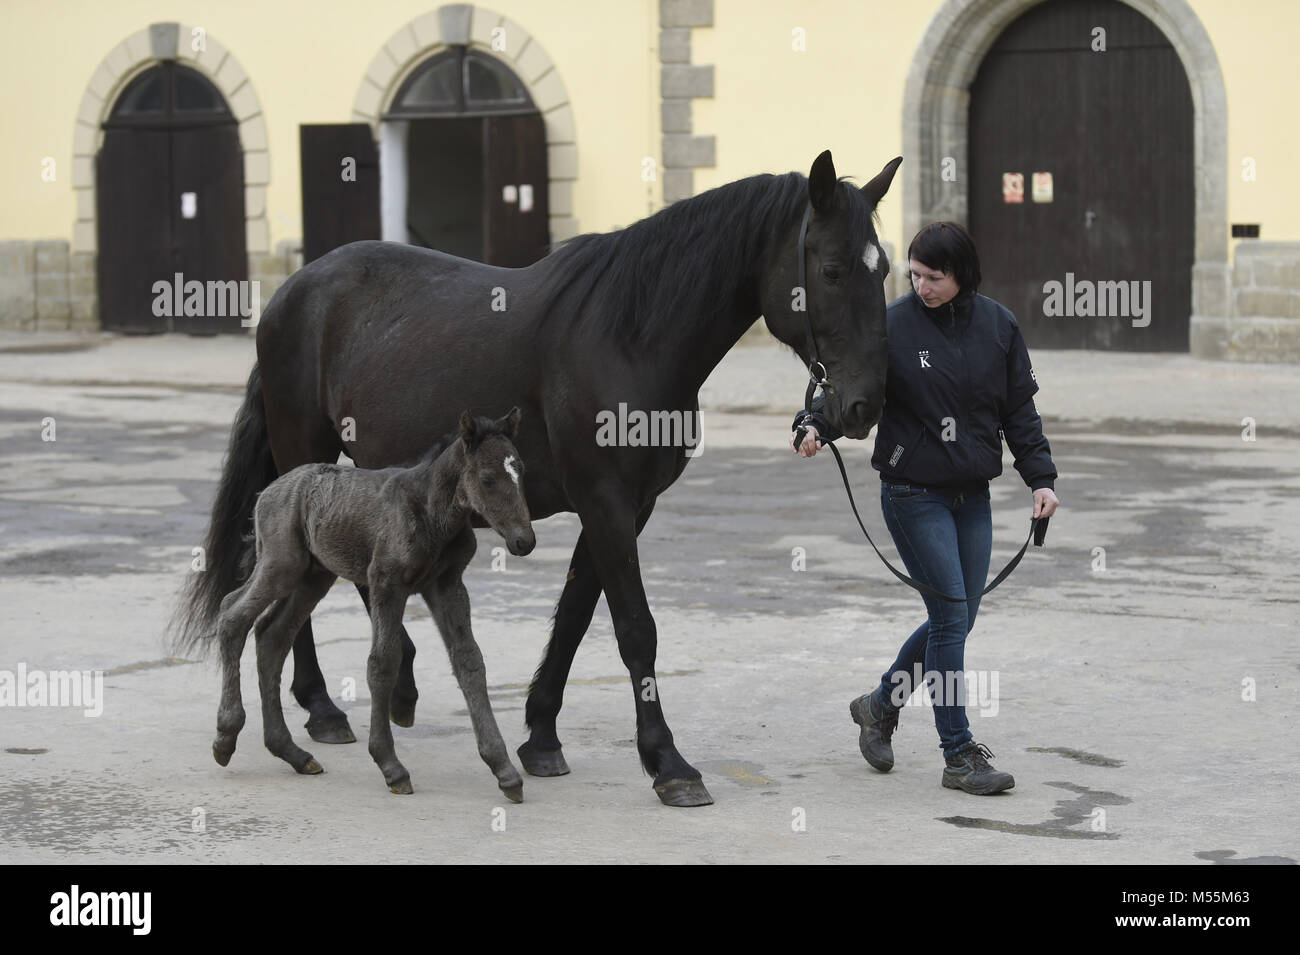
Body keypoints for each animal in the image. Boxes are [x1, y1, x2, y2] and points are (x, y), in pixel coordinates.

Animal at [210, 408, 532, 799]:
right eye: (486, 479)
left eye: (521, 471)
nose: (524, 541)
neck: (430, 510)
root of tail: (268, 491)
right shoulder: (385, 583)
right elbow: (383, 663)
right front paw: (391, 766)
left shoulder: (448, 585)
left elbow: (469, 661)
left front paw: (505, 771)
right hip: (281, 564)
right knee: (232, 615)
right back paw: (226, 738)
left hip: (313, 576)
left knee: (272, 637)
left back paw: (293, 754)